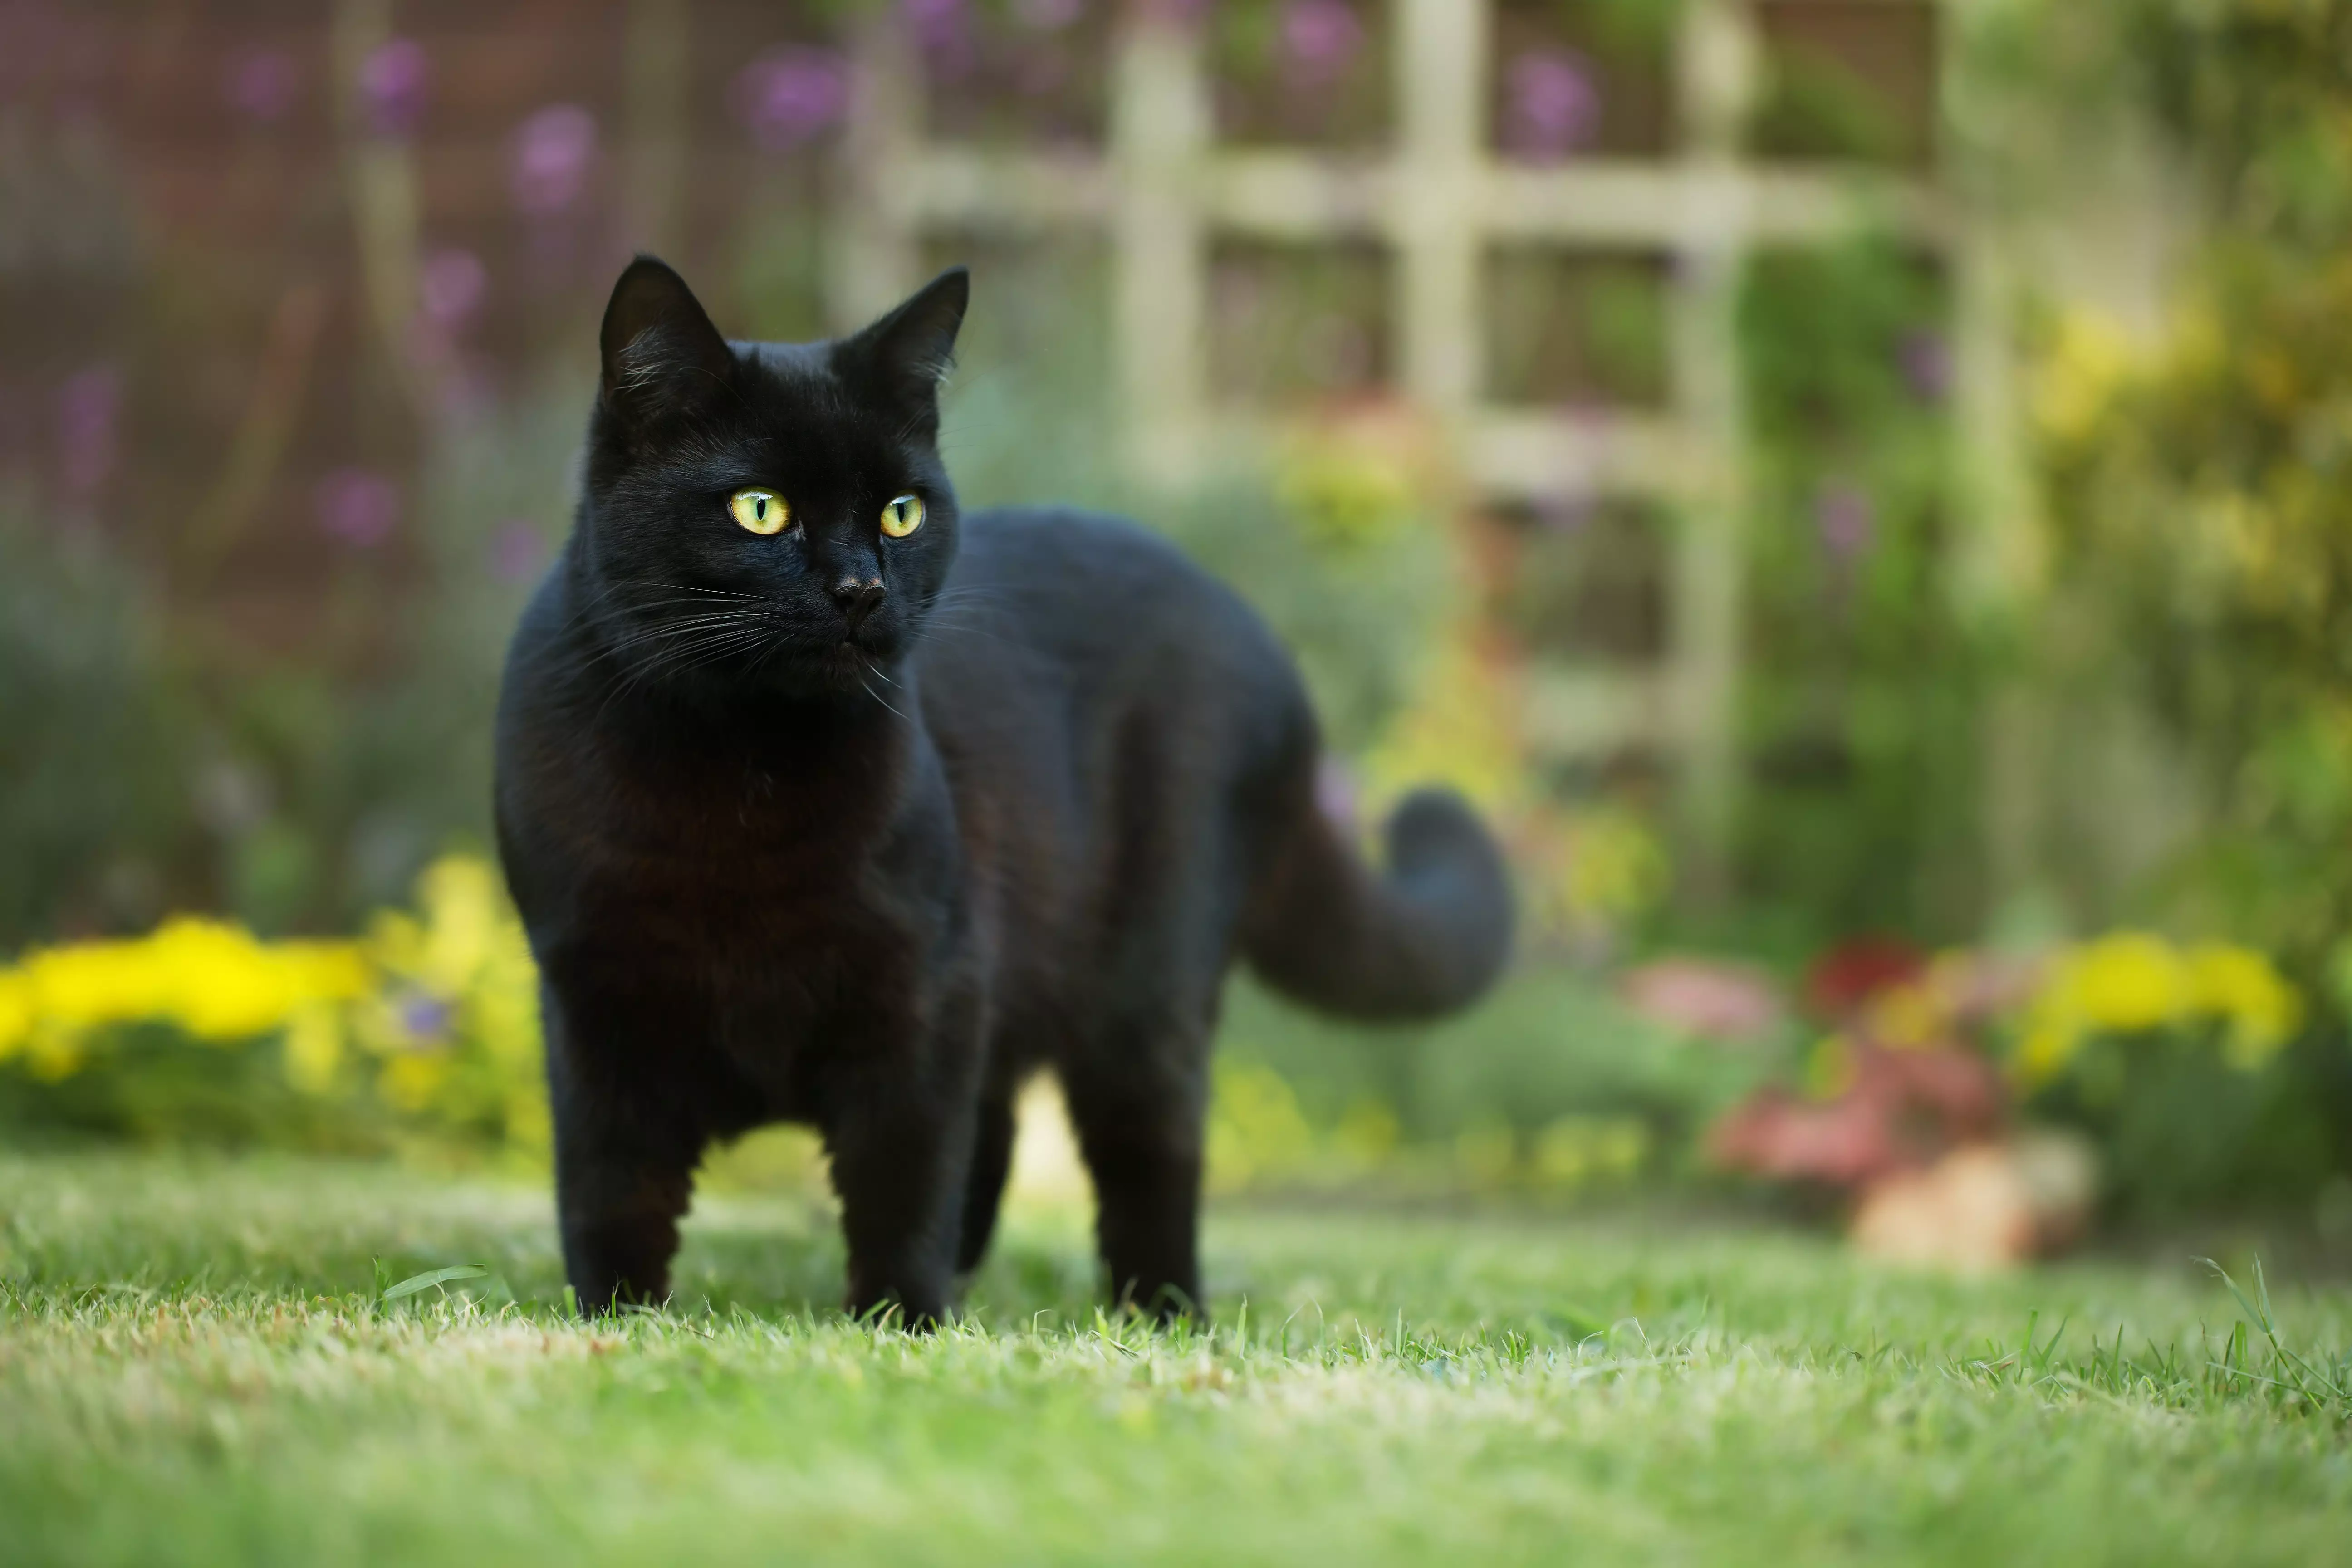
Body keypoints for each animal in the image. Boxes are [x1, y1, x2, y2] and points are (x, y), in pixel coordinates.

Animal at [499, 257, 1514, 1326]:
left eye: (901, 512)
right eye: (760, 509)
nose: (861, 588)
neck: (737, 775)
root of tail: (1255, 633)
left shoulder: (925, 986)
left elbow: (902, 1178)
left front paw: (899, 1322)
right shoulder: (591, 1000)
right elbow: (610, 1185)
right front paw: (616, 1320)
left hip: (1143, 983)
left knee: (1144, 1150)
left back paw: (1160, 1314)